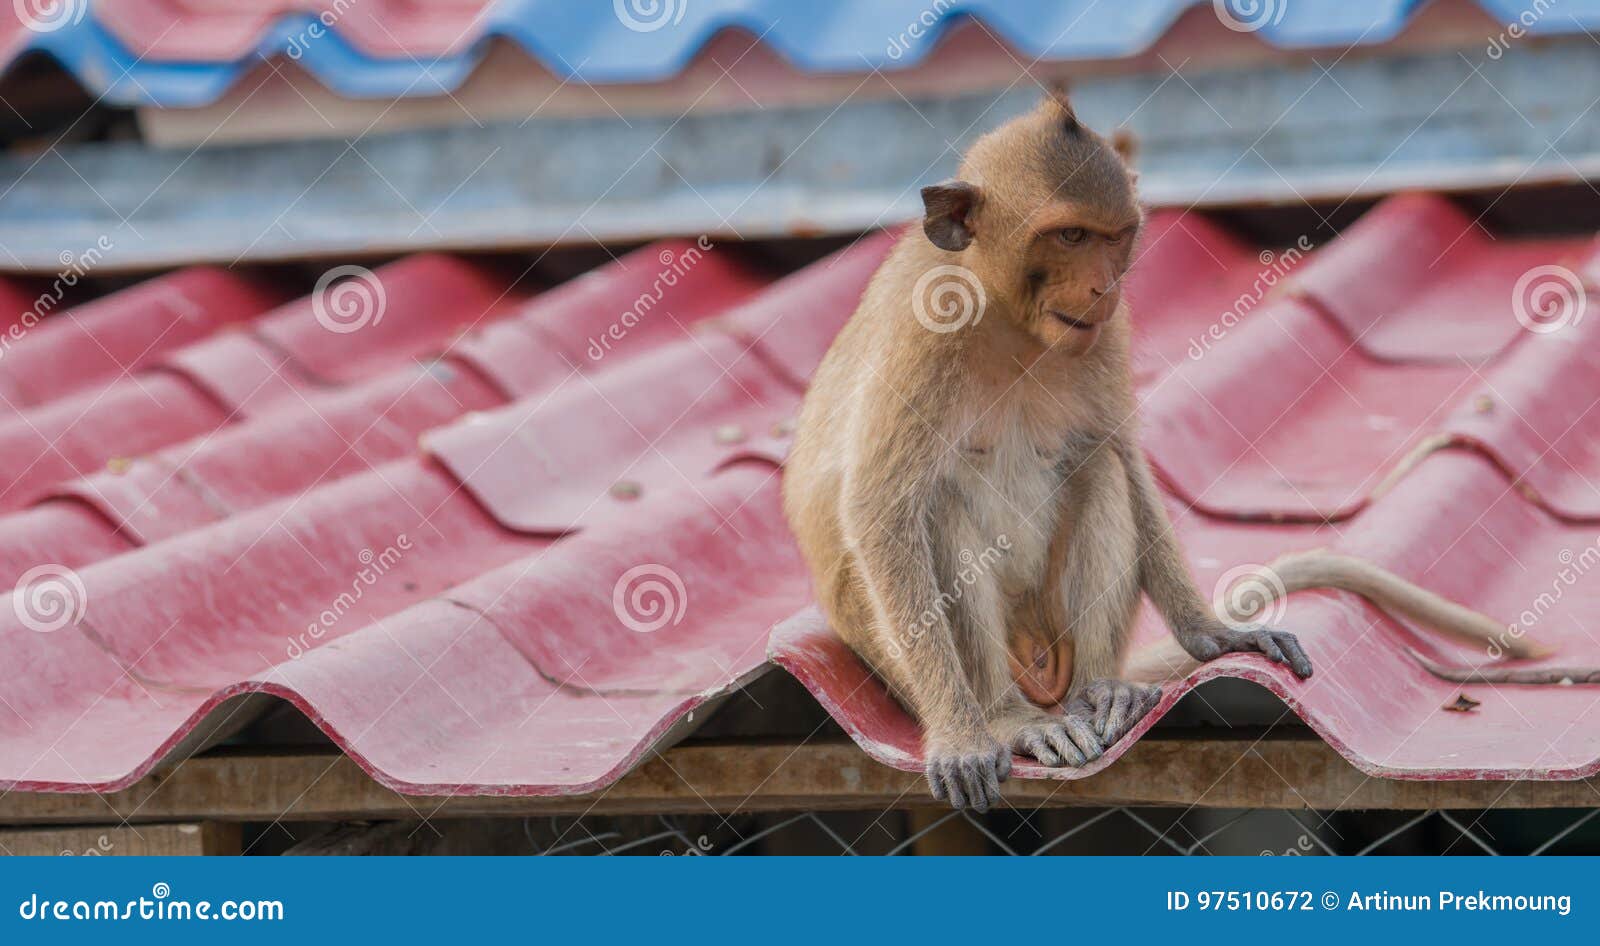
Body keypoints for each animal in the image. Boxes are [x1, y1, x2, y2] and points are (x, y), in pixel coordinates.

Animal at [781, 88, 1569, 812]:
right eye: (1069, 236)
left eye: (1114, 236)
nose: (1102, 285)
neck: (1005, 315)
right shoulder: (924, 331)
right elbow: (882, 508)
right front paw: (962, 733)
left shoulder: (1106, 334)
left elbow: (1123, 459)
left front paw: (1209, 632)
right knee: (935, 511)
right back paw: (1007, 718)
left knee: (1098, 470)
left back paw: (1106, 691)